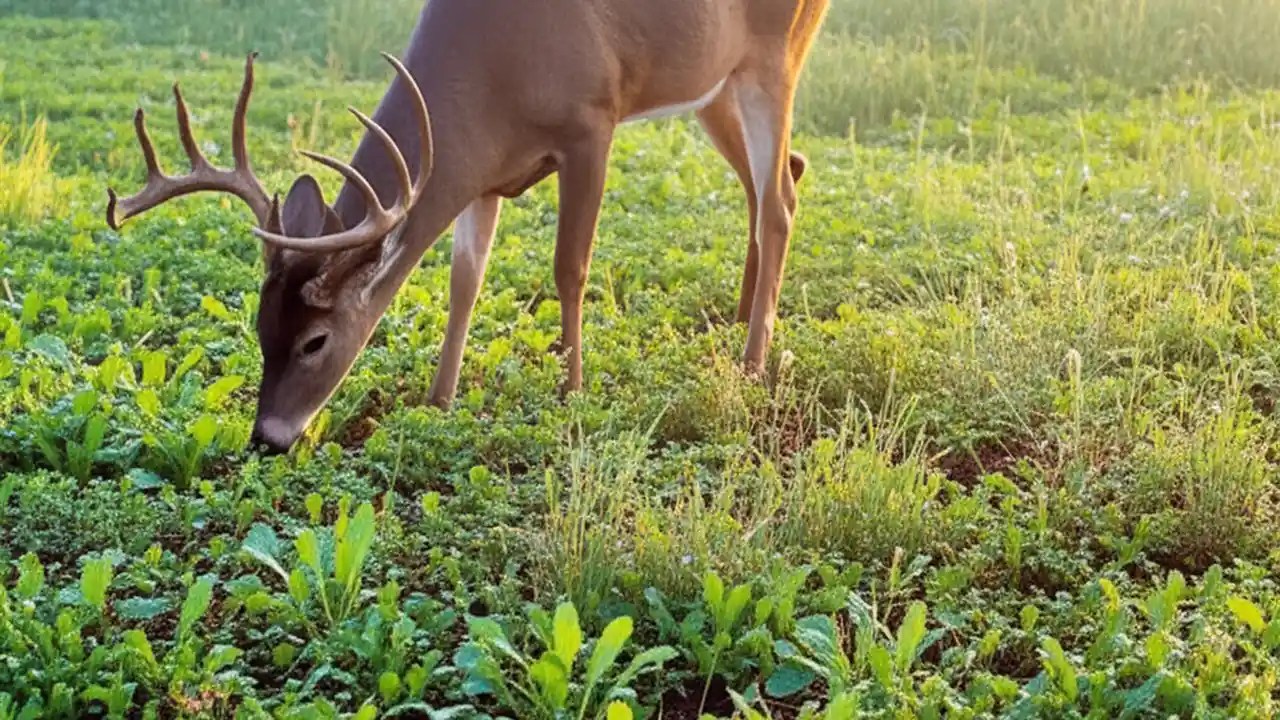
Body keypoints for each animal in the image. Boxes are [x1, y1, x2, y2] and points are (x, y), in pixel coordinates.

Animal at [106, 0, 831, 454]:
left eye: (315, 340)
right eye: (259, 330)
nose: (267, 439)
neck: (492, 72)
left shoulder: (591, 122)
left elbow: (570, 266)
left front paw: (571, 390)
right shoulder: (480, 174)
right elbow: (464, 283)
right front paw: (438, 401)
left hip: (774, 58)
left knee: (779, 201)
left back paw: (753, 362)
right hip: (714, 84)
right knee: (783, 174)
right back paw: (741, 317)